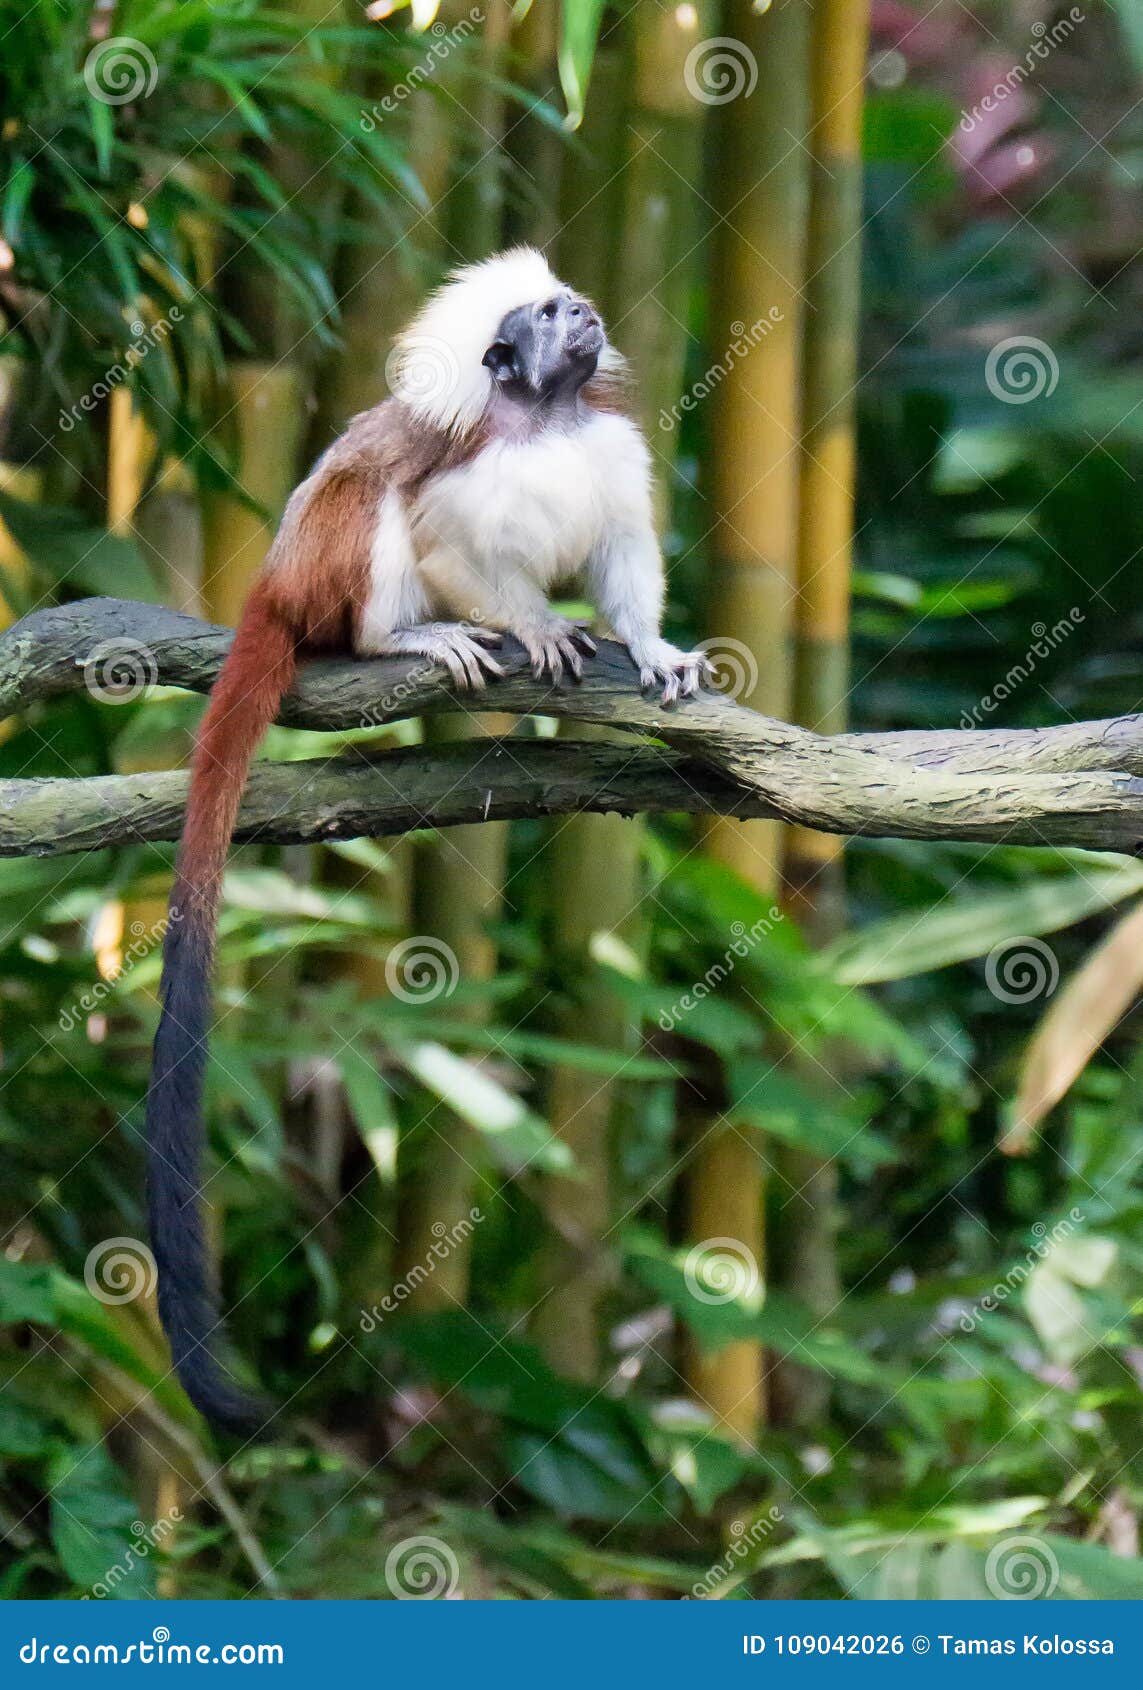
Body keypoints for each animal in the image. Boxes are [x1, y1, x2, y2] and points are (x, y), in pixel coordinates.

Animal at [146, 246, 709, 1428]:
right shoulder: (469, 469)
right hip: (322, 565)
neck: (545, 420)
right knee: (371, 504)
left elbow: (622, 552)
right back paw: (395, 636)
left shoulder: (608, 450)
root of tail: (273, 578)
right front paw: (531, 625)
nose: (586, 314)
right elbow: (451, 537)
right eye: (549, 312)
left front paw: (650, 646)